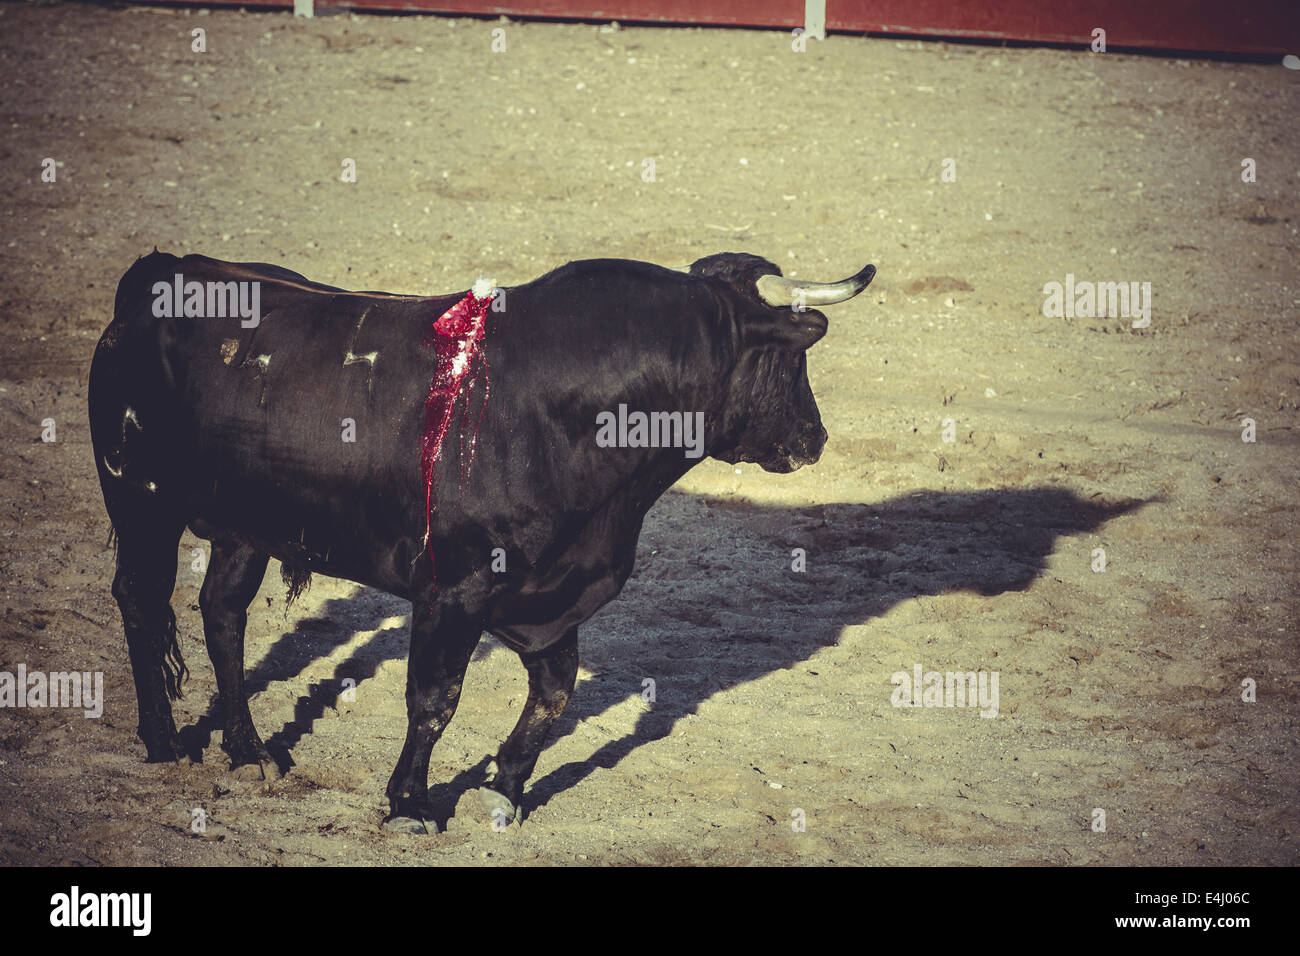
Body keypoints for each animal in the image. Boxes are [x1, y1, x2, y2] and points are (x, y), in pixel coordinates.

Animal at [88, 249, 875, 831]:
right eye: (793, 359)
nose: (814, 438)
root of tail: (161, 273)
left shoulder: (552, 588)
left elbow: (554, 693)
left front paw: (506, 789)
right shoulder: (454, 590)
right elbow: (435, 698)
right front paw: (410, 804)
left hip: (247, 526)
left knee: (222, 611)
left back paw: (249, 752)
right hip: (142, 500)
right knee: (142, 599)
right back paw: (163, 741)